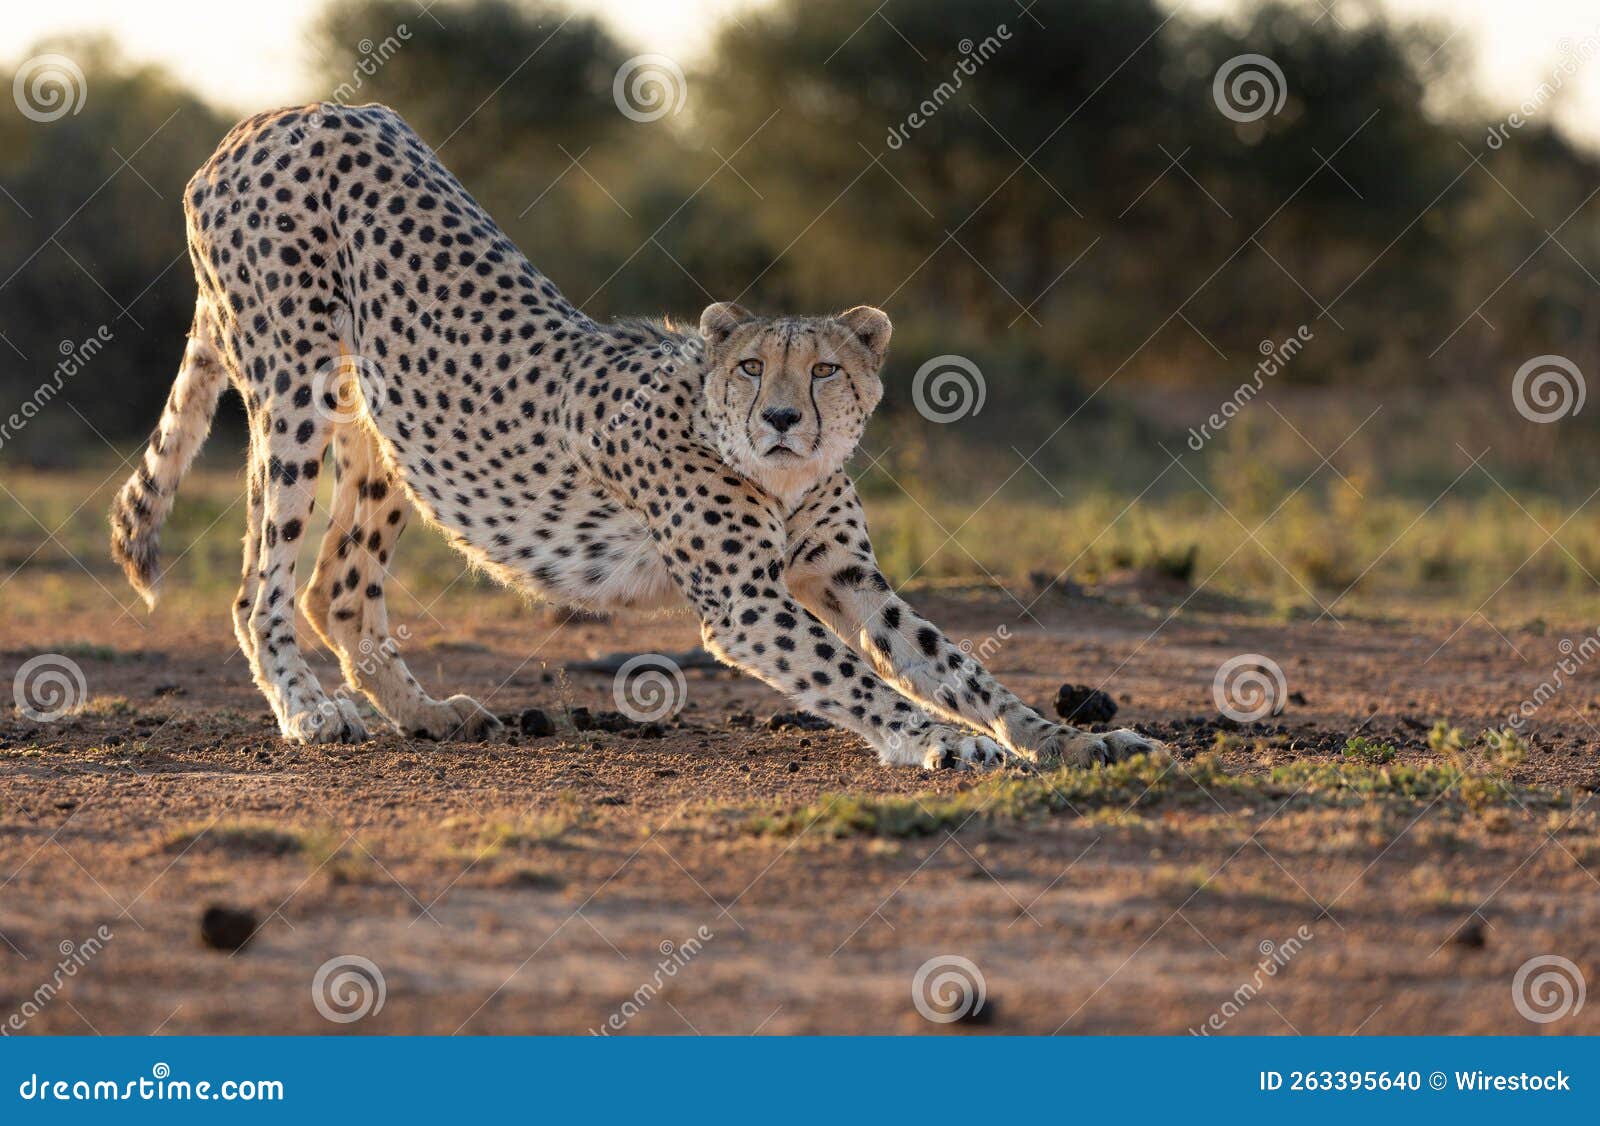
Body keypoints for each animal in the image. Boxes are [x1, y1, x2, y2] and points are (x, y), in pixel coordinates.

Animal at [109, 102, 1158, 770]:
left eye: (823, 370)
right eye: (751, 369)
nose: (782, 419)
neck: (773, 469)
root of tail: (271, 115)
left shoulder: (848, 576)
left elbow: (952, 662)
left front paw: (1071, 738)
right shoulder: (744, 602)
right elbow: (860, 680)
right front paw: (941, 741)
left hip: (387, 426)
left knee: (338, 586)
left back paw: (426, 715)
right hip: (293, 386)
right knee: (261, 582)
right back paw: (306, 711)